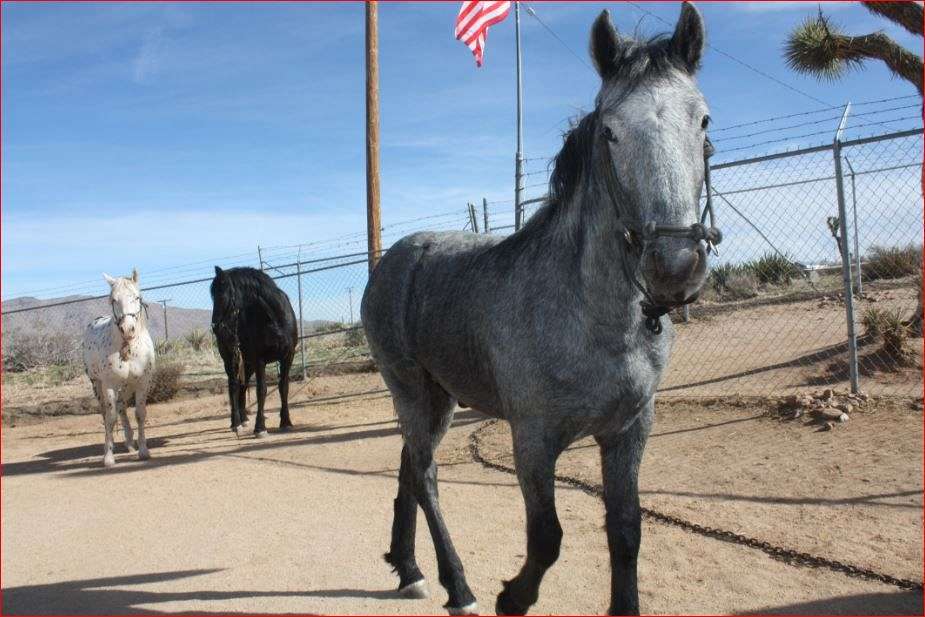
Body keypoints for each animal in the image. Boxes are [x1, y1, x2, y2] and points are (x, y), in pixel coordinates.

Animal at [82, 269, 156, 468]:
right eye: (113, 300)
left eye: (137, 297)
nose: (128, 329)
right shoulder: (109, 384)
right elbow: (110, 416)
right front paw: (108, 457)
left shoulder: (142, 383)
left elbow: (140, 414)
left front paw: (143, 451)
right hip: (97, 384)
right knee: (106, 412)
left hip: (127, 385)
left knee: (122, 405)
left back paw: (130, 443)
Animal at [210, 266, 298, 437]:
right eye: (213, 294)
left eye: (223, 293)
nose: (216, 327)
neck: (274, 319)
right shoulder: (259, 360)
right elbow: (261, 390)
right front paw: (260, 428)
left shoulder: (287, 356)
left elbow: (283, 387)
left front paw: (286, 422)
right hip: (231, 360)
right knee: (233, 386)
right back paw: (235, 423)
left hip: (247, 363)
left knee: (242, 386)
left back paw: (244, 419)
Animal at [361, 4, 719, 614]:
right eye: (610, 131)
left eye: (703, 122)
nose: (674, 266)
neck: (594, 319)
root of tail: (393, 262)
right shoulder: (533, 438)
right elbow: (546, 536)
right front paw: (512, 595)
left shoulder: (628, 432)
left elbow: (626, 531)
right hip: (409, 390)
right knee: (426, 477)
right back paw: (459, 587)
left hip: (439, 398)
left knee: (410, 469)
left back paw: (409, 569)